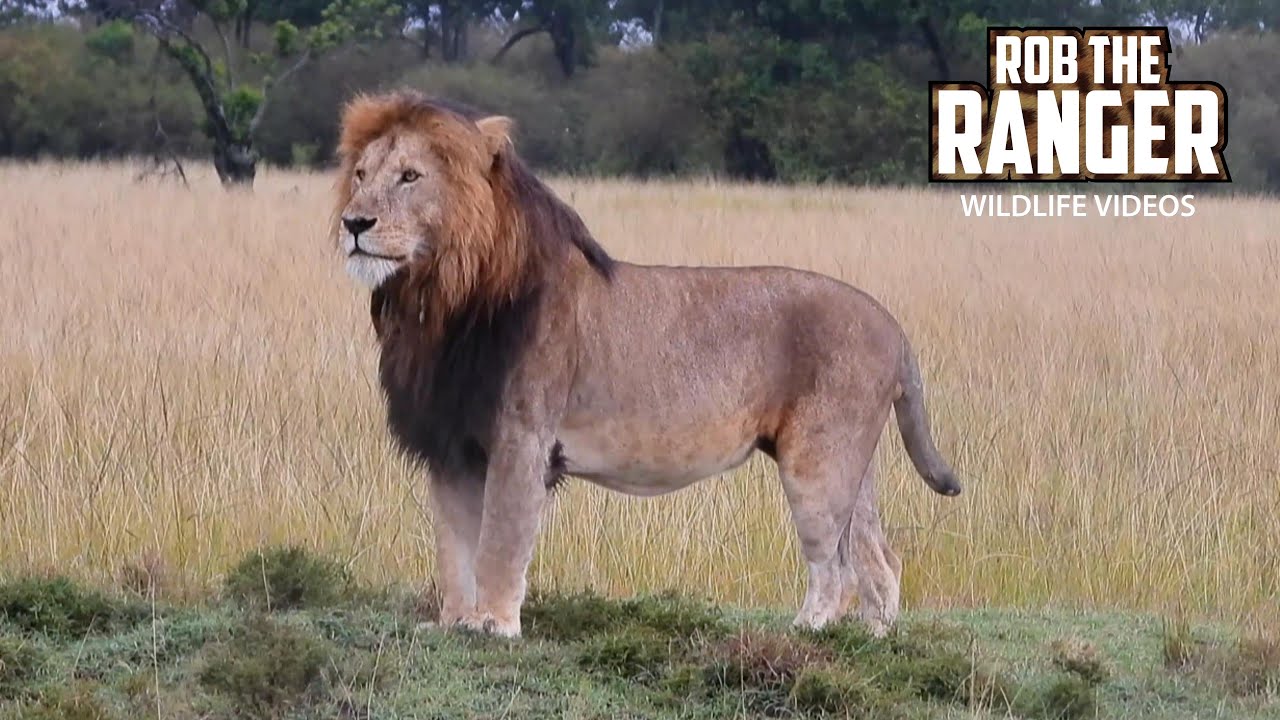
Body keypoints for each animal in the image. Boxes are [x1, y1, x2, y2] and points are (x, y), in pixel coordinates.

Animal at [334, 91, 961, 639]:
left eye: (410, 177)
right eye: (361, 175)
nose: (353, 223)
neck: (438, 300)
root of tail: (891, 322)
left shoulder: (521, 438)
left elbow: (499, 542)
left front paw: (494, 626)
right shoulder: (452, 445)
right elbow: (453, 547)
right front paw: (454, 623)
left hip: (818, 464)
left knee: (835, 565)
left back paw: (807, 631)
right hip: (852, 461)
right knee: (880, 559)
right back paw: (873, 639)